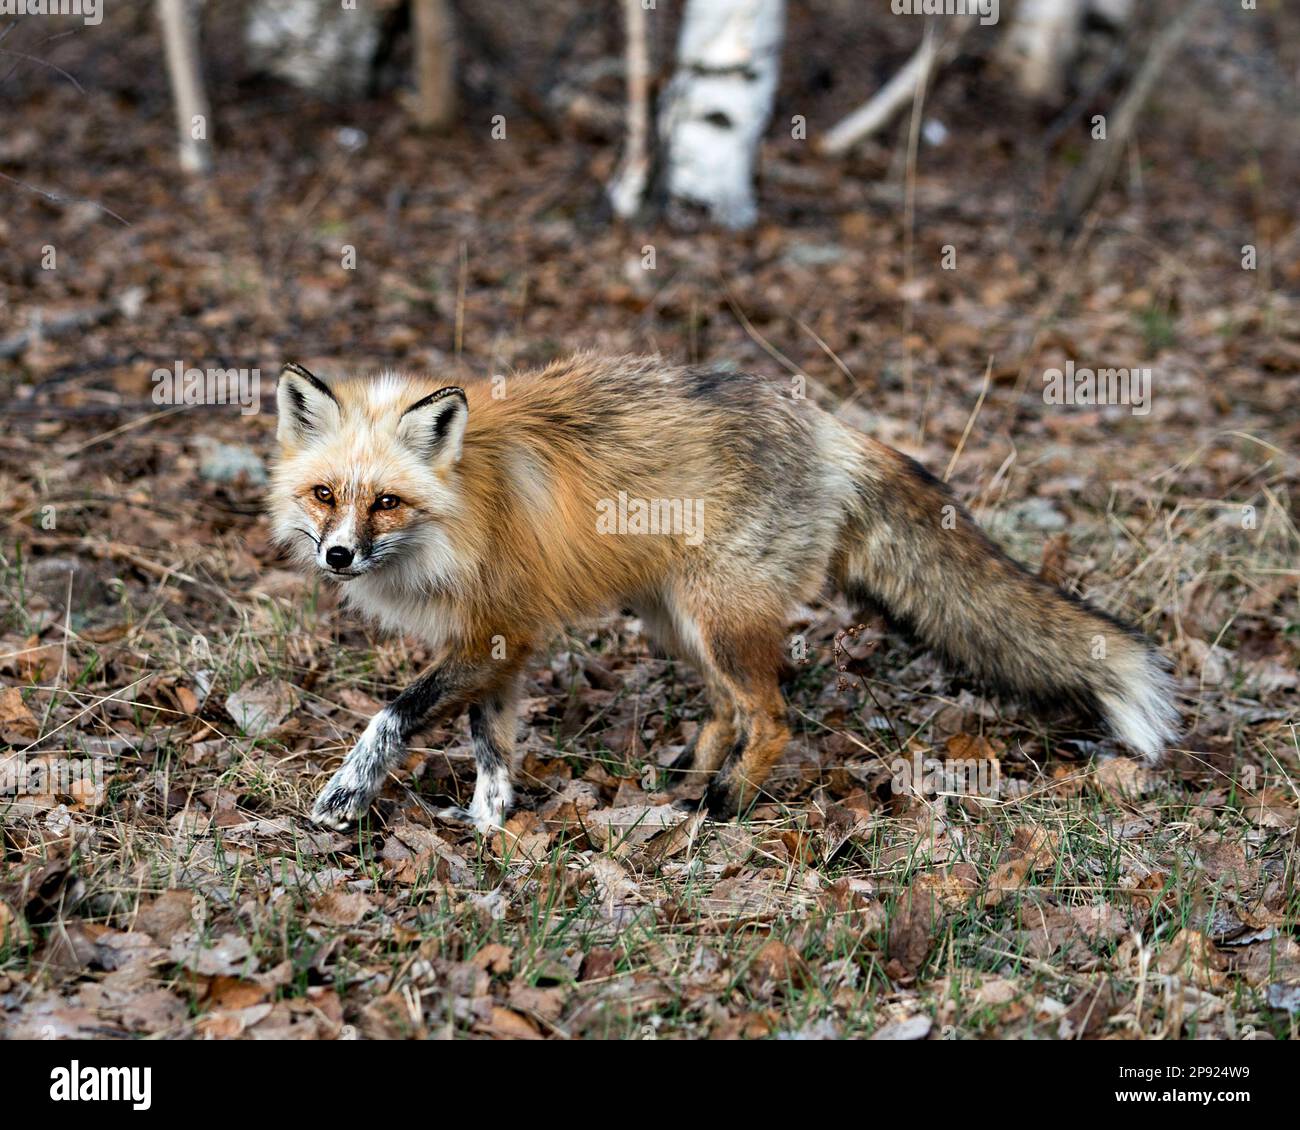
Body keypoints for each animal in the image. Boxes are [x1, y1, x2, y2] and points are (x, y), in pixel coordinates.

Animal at [267, 354, 1179, 832]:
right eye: (325, 495)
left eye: (387, 501)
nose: (339, 556)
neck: (458, 512)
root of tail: (832, 427)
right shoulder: (503, 640)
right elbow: (490, 739)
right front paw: (492, 819)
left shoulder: (496, 634)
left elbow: (395, 715)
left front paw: (345, 794)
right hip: (674, 619)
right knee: (724, 708)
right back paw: (690, 774)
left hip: (719, 618)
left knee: (770, 717)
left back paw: (726, 800)